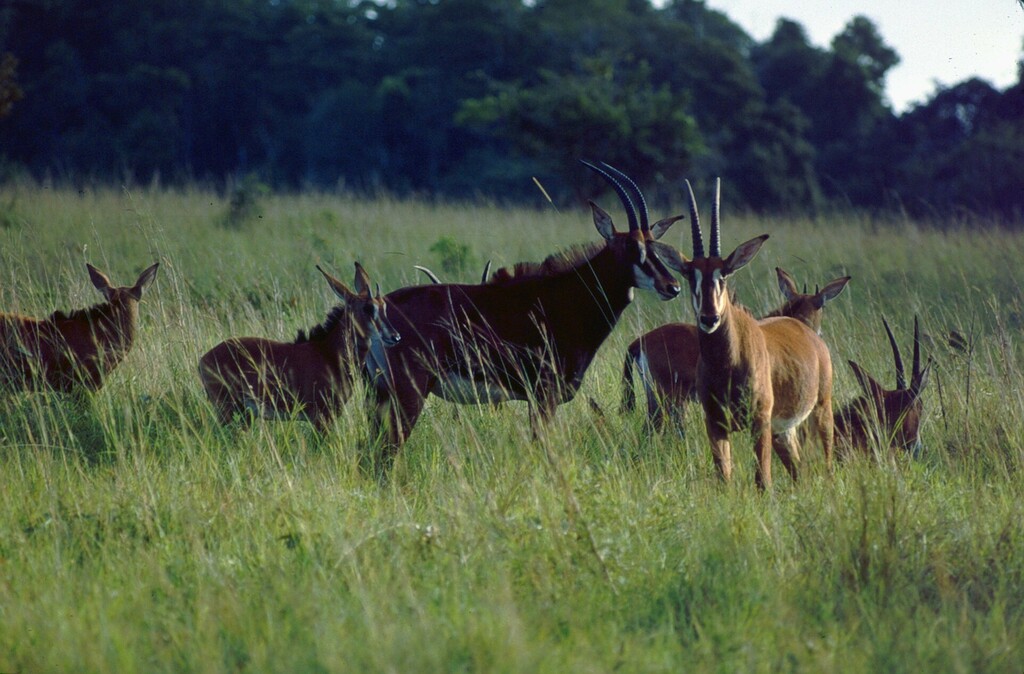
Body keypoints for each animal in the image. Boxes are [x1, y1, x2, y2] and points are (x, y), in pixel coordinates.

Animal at [198, 263, 400, 430]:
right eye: (368, 308)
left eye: (384, 306)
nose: (395, 336)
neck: (329, 352)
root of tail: (202, 360)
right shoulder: (321, 417)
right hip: (228, 409)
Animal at [365, 162, 683, 468]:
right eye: (632, 246)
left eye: (655, 246)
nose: (673, 286)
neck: (571, 296)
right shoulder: (544, 395)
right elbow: (540, 446)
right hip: (409, 392)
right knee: (386, 452)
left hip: (379, 394)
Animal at [655, 180, 834, 489]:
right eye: (691, 275)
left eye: (724, 274)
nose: (709, 318)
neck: (726, 362)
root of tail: (808, 332)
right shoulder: (715, 423)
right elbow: (724, 477)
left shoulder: (759, 422)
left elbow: (763, 481)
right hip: (783, 431)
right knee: (798, 469)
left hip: (821, 411)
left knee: (827, 463)